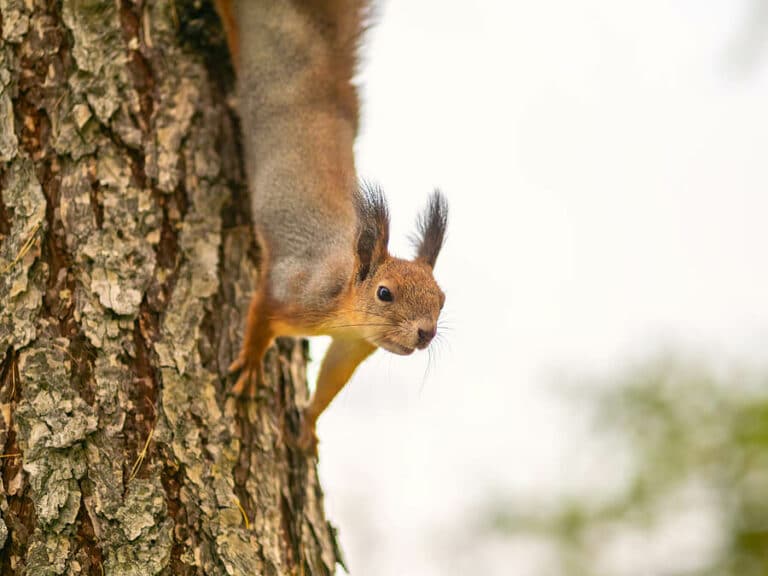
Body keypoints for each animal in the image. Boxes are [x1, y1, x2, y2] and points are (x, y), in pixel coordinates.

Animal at [214, 0, 448, 450]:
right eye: (384, 293)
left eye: (442, 299)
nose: (426, 333)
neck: (343, 304)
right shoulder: (291, 291)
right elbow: (259, 315)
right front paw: (250, 363)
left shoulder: (351, 346)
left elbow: (330, 382)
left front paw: (309, 422)